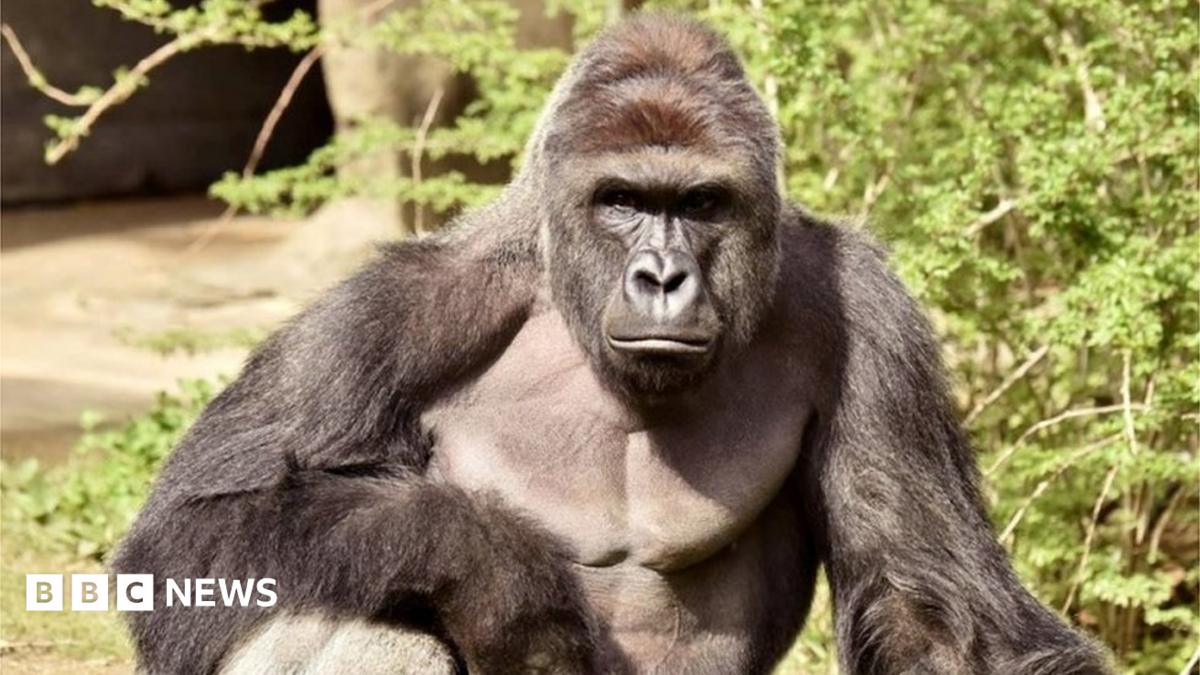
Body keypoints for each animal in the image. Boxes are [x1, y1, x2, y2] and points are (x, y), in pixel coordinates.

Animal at [113, 14, 1110, 675]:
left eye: (700, 203)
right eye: (623, 199)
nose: (662, 277)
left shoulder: (869, 318)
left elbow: (932, 609)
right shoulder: (390, 313)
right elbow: (189, 536)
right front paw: (501, 572)